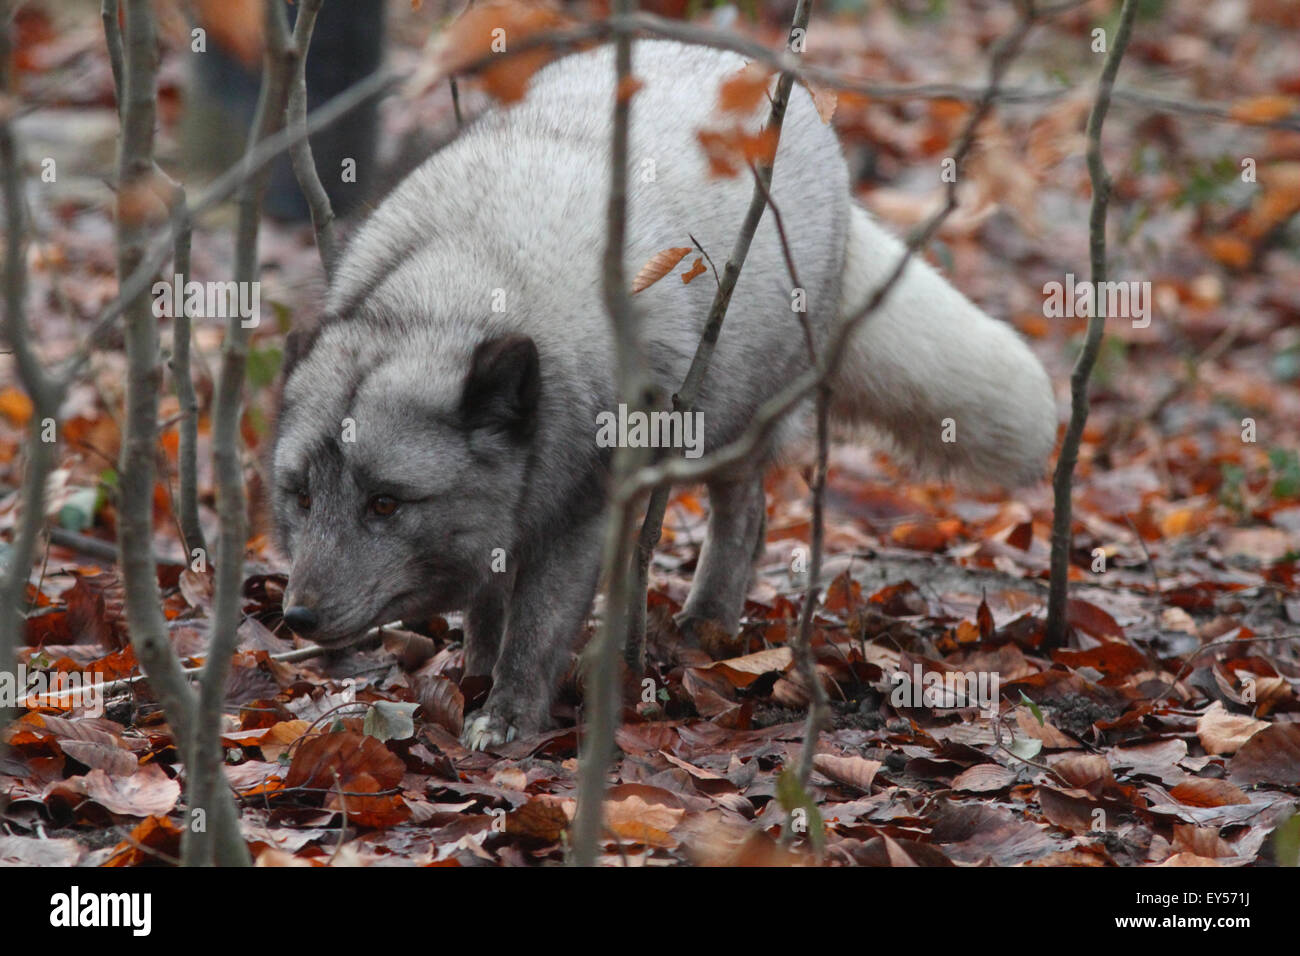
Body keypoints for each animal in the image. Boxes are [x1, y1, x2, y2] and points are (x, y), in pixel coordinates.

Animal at [270, 40, 1057, 750]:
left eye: (385, 504)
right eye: (301, 497)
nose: (296, 619)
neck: (459, 287)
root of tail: (766, 78)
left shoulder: (581, 506)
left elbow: (537, 626)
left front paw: (507, 717)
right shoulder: (513, 500)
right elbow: (491, 605)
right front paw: (475, 675)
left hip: (727, 422)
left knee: (749, 512)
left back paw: (707, 621)